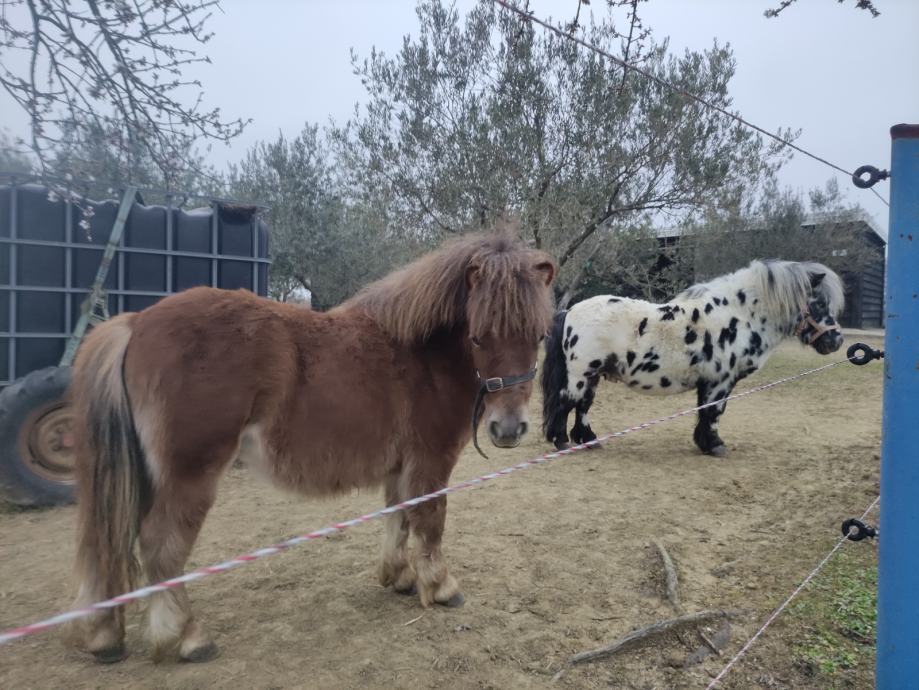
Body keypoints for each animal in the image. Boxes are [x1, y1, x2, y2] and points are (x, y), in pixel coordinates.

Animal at [68, 230, 556, 664]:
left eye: (538, 335)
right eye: (477, 336)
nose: (508, 428)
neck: (421, 355)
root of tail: (135, 323)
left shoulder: (401, 467)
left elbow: (398, 517)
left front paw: (398, 577)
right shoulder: (431, 462)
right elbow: (430, 520)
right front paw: (441, 587)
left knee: (105, 542)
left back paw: (104, 637)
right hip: (190, 473)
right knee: (160, 545)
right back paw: (188, 638)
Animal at [541, 259, 844, 455]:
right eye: (818, 304)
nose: (836, 341)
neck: (738, 315)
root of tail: (570, 311)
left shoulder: (711, 381)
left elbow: (705, 412)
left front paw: (705, 442)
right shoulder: (722, 381)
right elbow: (714, 412)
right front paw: (715, 445)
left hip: (593, 375)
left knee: (582, 406)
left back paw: (588, 440)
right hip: (581, 374)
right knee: (567, 402)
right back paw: (562, 441)